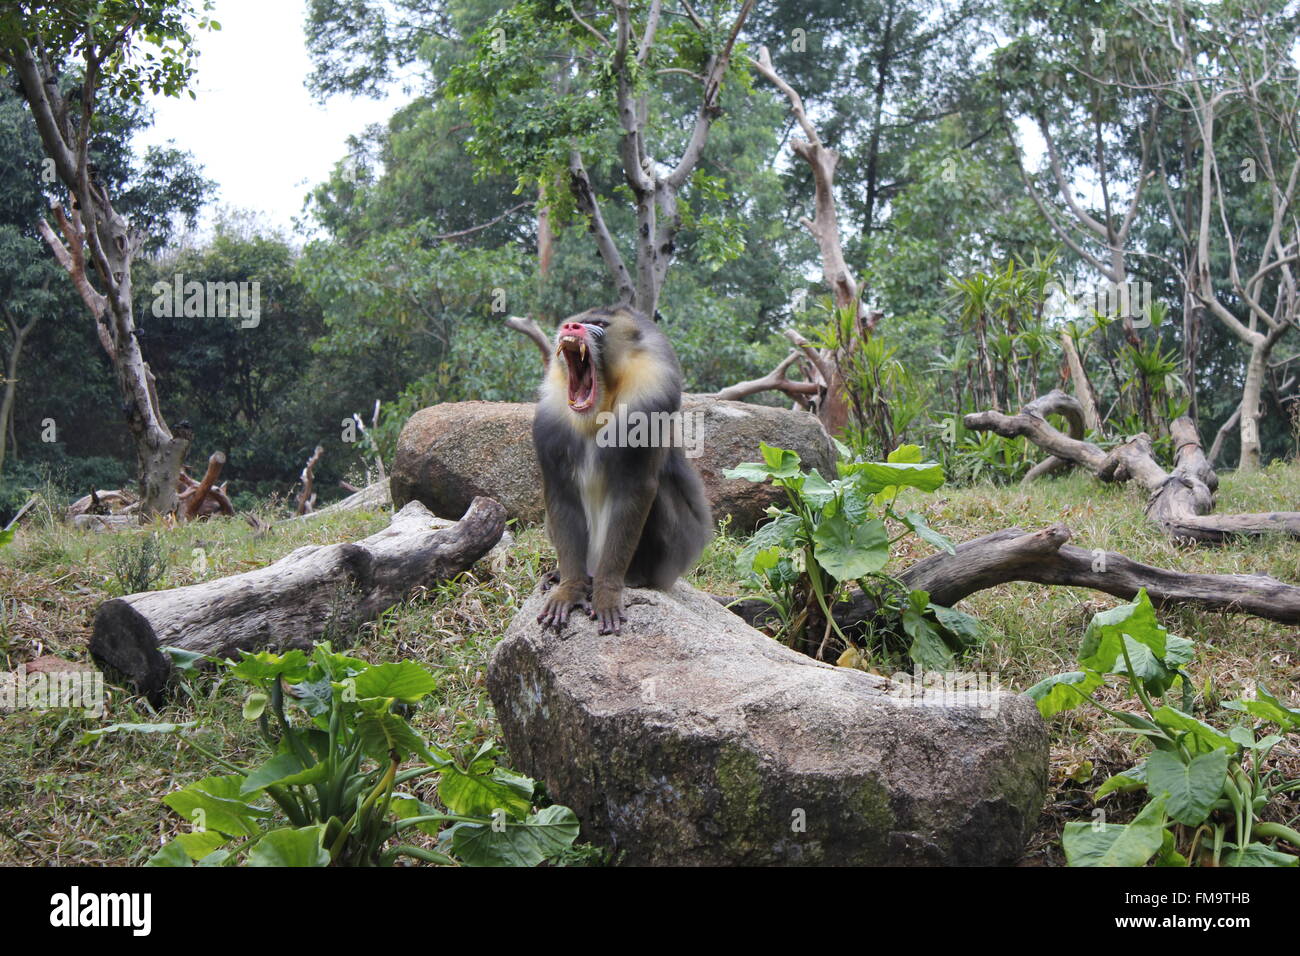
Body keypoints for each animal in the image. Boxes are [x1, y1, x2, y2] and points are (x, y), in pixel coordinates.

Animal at [533, 305, 712, 634]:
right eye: (579, 320)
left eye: (599, 324)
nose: (571, 327)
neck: (595, 416)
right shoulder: (551, 432)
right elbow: (561, 497)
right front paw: (569, 588)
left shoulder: (649, 402)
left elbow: (636, 493)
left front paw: (606, 591)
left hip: (673, 553)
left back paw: (634, 578)